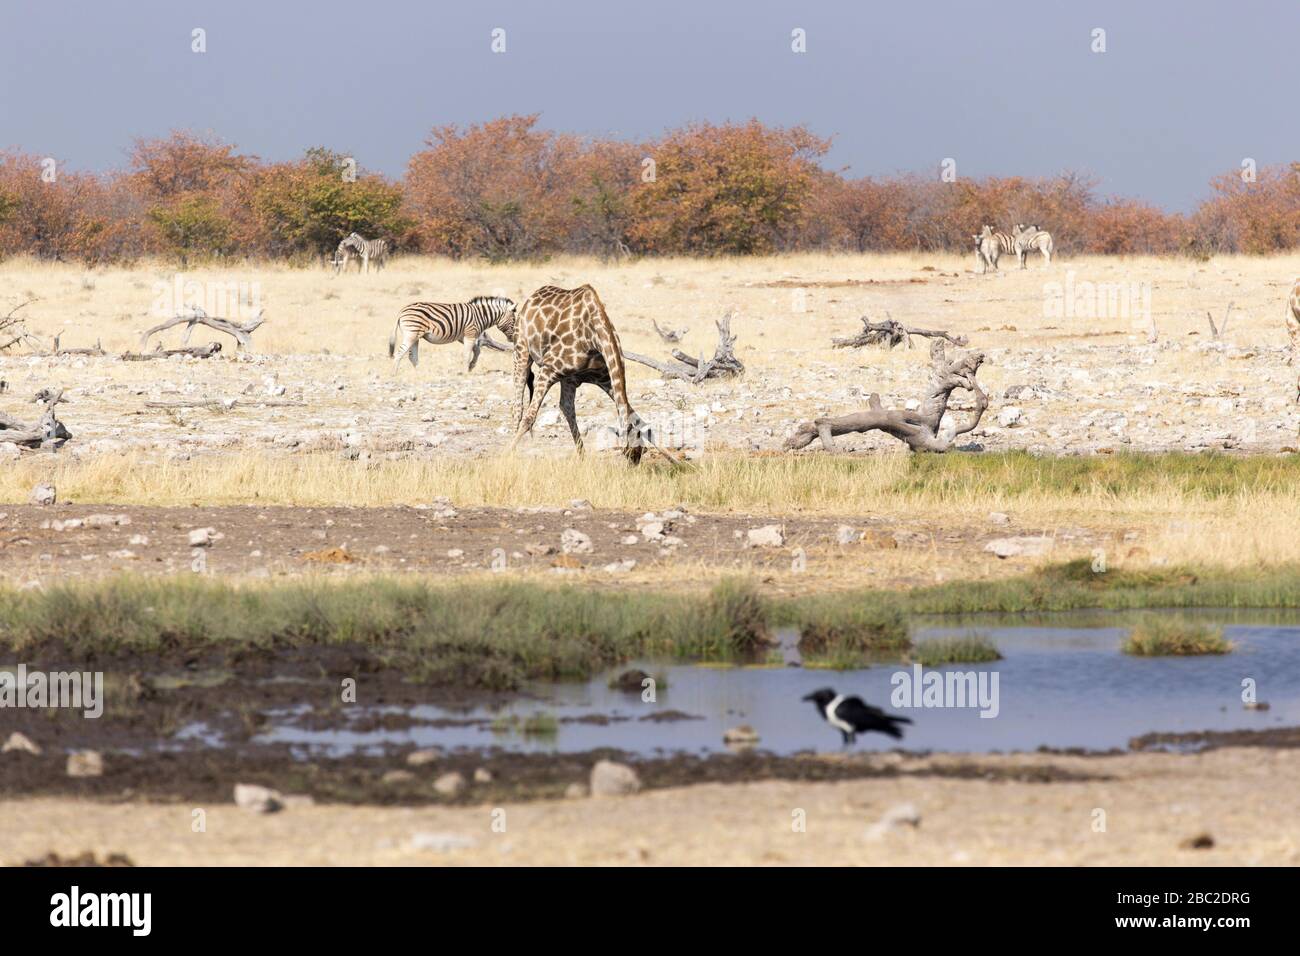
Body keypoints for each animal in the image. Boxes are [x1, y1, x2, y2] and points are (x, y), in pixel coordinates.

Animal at [509, 284, 646, 464]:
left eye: (641, 450)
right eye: (630, 451)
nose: (634, 464)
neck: (594, 335)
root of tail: (531, 297)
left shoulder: (604, 378)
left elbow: (632, 411)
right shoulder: (548, 368)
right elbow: (529, 417)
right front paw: (504, 456)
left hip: (568, 379)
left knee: (566, 407)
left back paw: (582, 457)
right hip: (521, 350)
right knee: (518, 406)